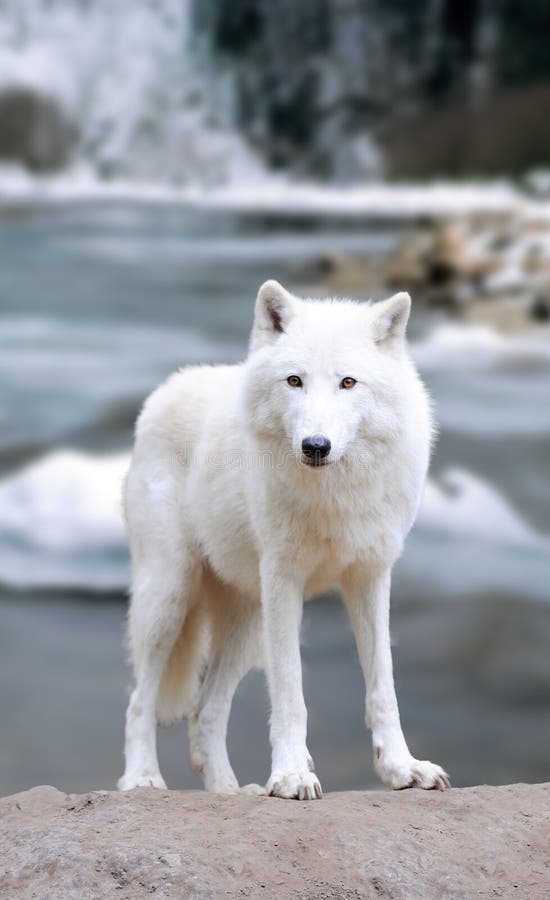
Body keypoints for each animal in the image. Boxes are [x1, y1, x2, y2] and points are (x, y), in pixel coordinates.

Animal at [118, 280, 449, 799]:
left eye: (348, 383)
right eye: (294, 381)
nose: (315, 446)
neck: (333, 495)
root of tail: (168, 386)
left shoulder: (370, 577)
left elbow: (383, 687)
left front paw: (402, 768)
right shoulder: (283, 582)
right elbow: (291, 693)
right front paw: (292, 775)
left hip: (245, 624)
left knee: (205, 711)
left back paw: (230, 792)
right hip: (169, 599)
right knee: (140, 700)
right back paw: (143, 778)